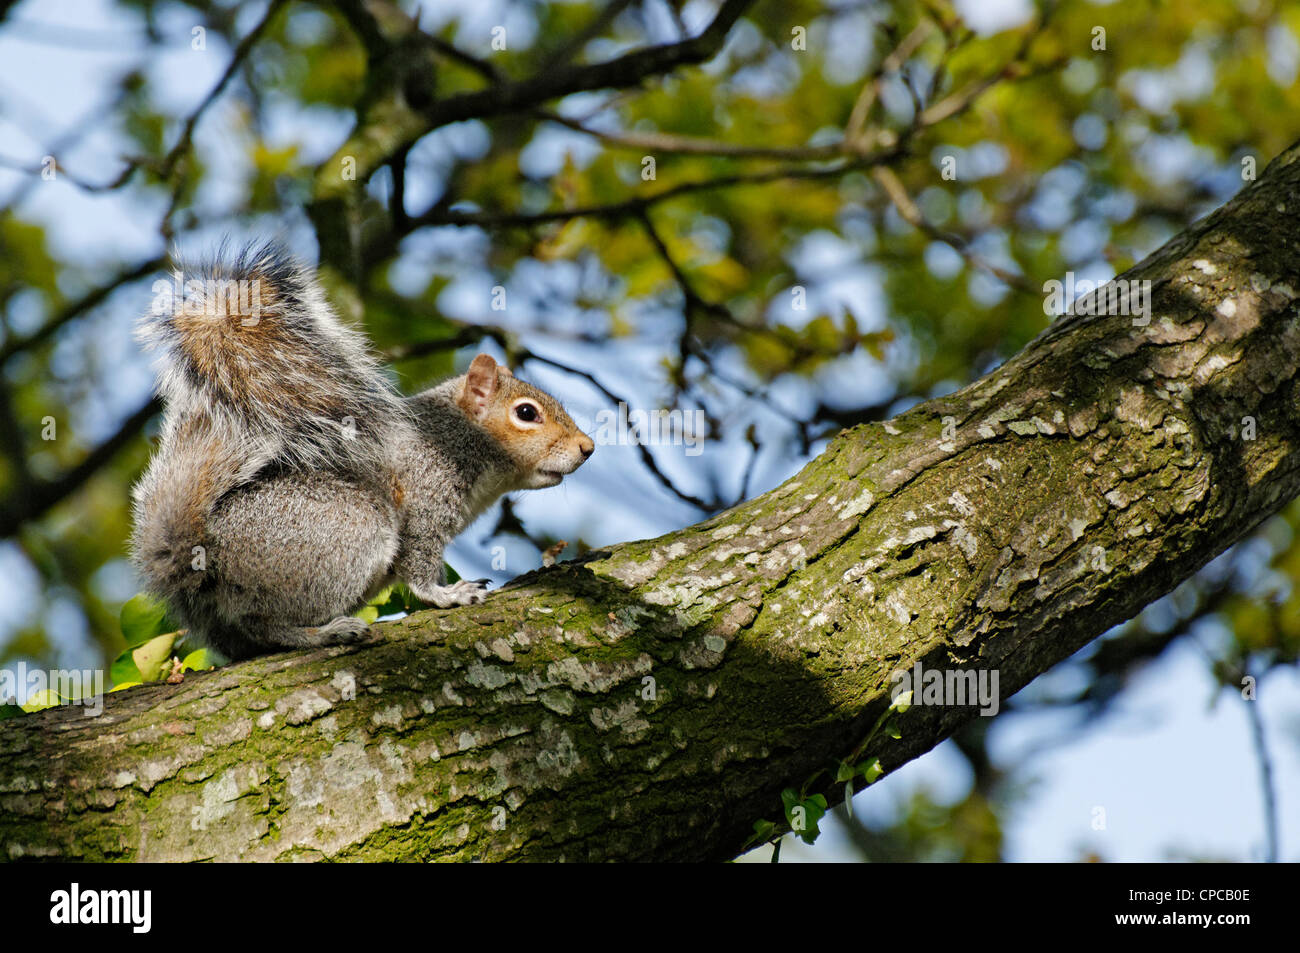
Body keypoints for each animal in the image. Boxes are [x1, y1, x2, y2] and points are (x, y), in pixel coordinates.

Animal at [130, 242, 594, 661]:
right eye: (526, 413)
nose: (587, 448)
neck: (459, 437)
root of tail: (203, 559)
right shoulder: (426, 492)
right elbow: (419, 562)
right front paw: (446, 595)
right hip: (345, 533)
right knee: (262, 623)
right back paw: (323, 634)